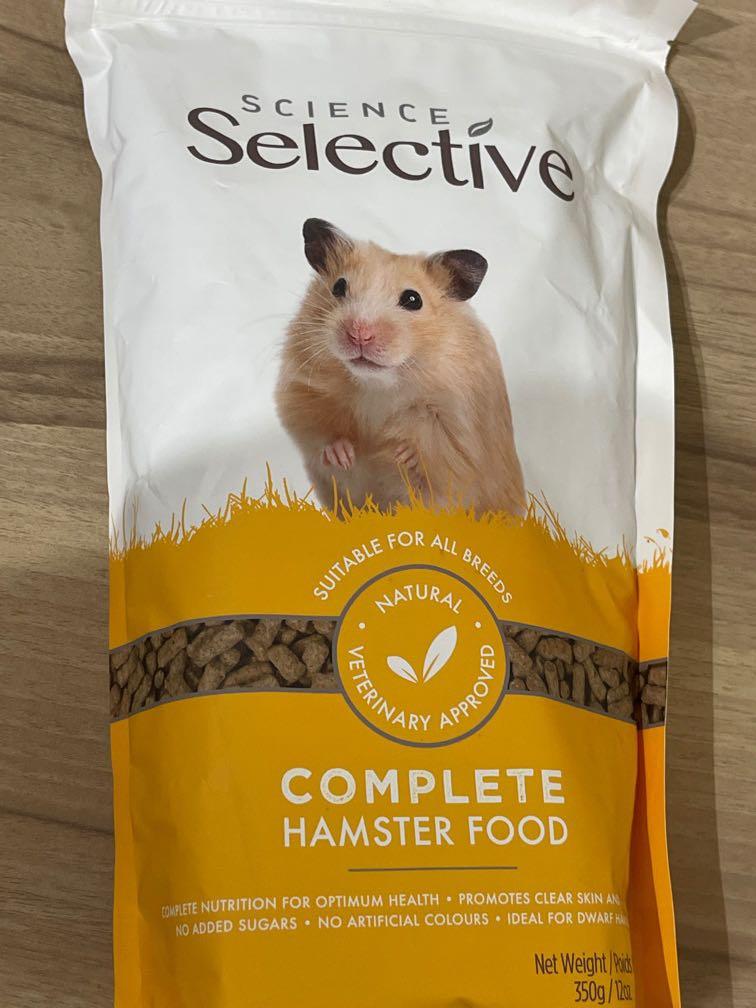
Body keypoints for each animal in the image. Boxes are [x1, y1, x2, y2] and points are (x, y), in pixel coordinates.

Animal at [275, 218, 526, 516]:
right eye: (338, 287)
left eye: (413, 299)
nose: (359, 334)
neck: (377, 384)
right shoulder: (302, 392)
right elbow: (319, 431)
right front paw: (345, 456)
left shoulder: (457, 429)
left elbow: (433, 449)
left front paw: (399, 454)